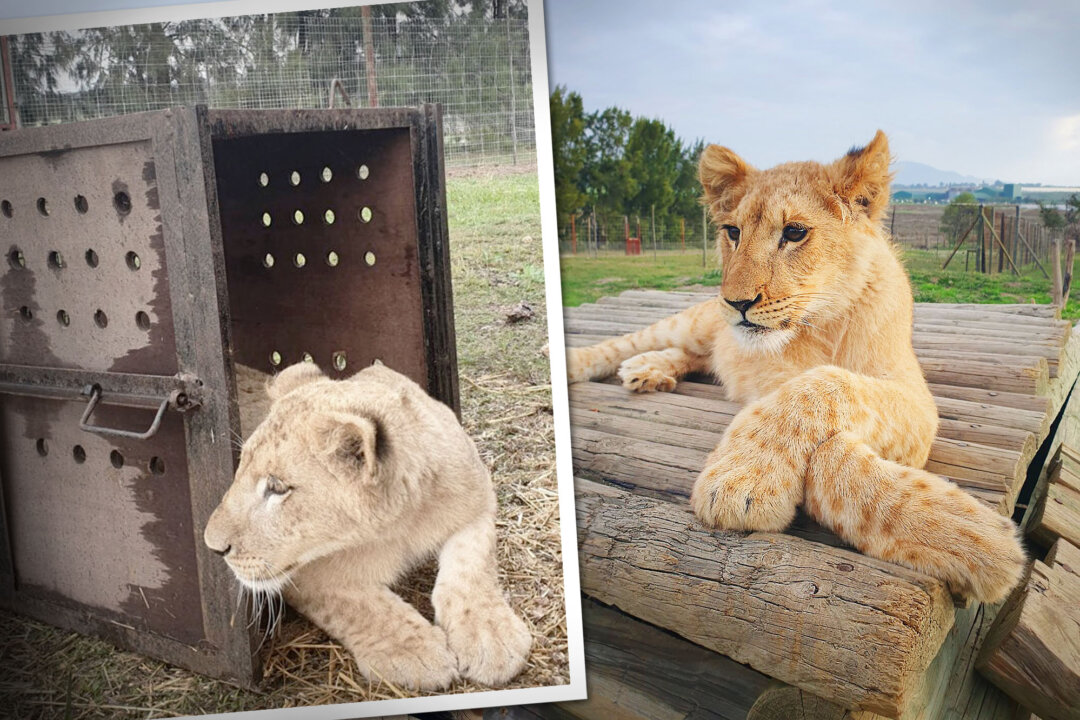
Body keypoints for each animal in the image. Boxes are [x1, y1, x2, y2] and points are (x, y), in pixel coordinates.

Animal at [204, 361, 531, 690]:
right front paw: (414, 651)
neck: (403, 522)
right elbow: (357, 606)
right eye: (239, 468)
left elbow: (470, 565)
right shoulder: (304, 576)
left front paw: (490, 636)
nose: (213, 547)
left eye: (277, 487)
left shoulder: (480, 500)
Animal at [566, 131, 1025, 603]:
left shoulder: (915, 398)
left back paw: (648, 370)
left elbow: (827, 387)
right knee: (631, 342)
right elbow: (819, 423)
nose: (736, 303)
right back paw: (587, 363)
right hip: (692, 322)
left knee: (695, 356)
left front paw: (971, 539)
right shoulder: (772, 382)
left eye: (795, 232)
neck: (828, 321)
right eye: (733, 232)